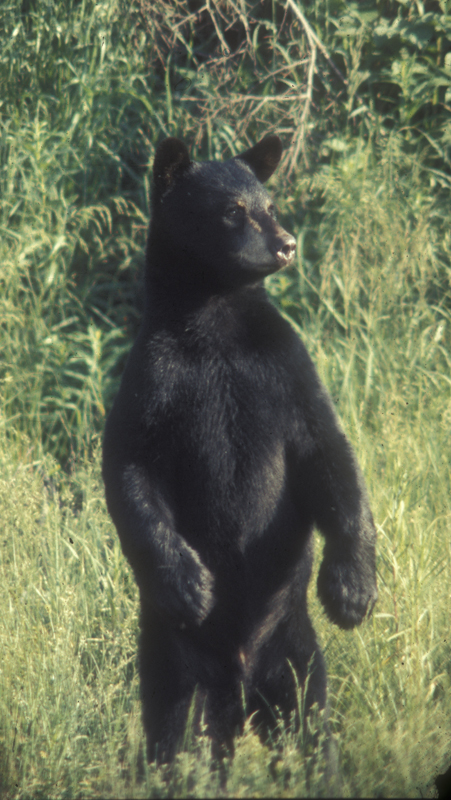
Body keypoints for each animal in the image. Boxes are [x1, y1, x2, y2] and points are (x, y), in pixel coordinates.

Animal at [102, 133, 378, 769]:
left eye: (270, 204)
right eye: (234, 209)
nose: (287, 244)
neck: (215, 318)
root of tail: (243, 687)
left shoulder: (284, 367)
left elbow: (328, 453)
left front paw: (351, 591)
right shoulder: (155, 378)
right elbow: (131, 468)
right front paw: (190, 583)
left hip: (296, 651)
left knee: (310, 727)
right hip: (173, 662)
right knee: (177, 738)